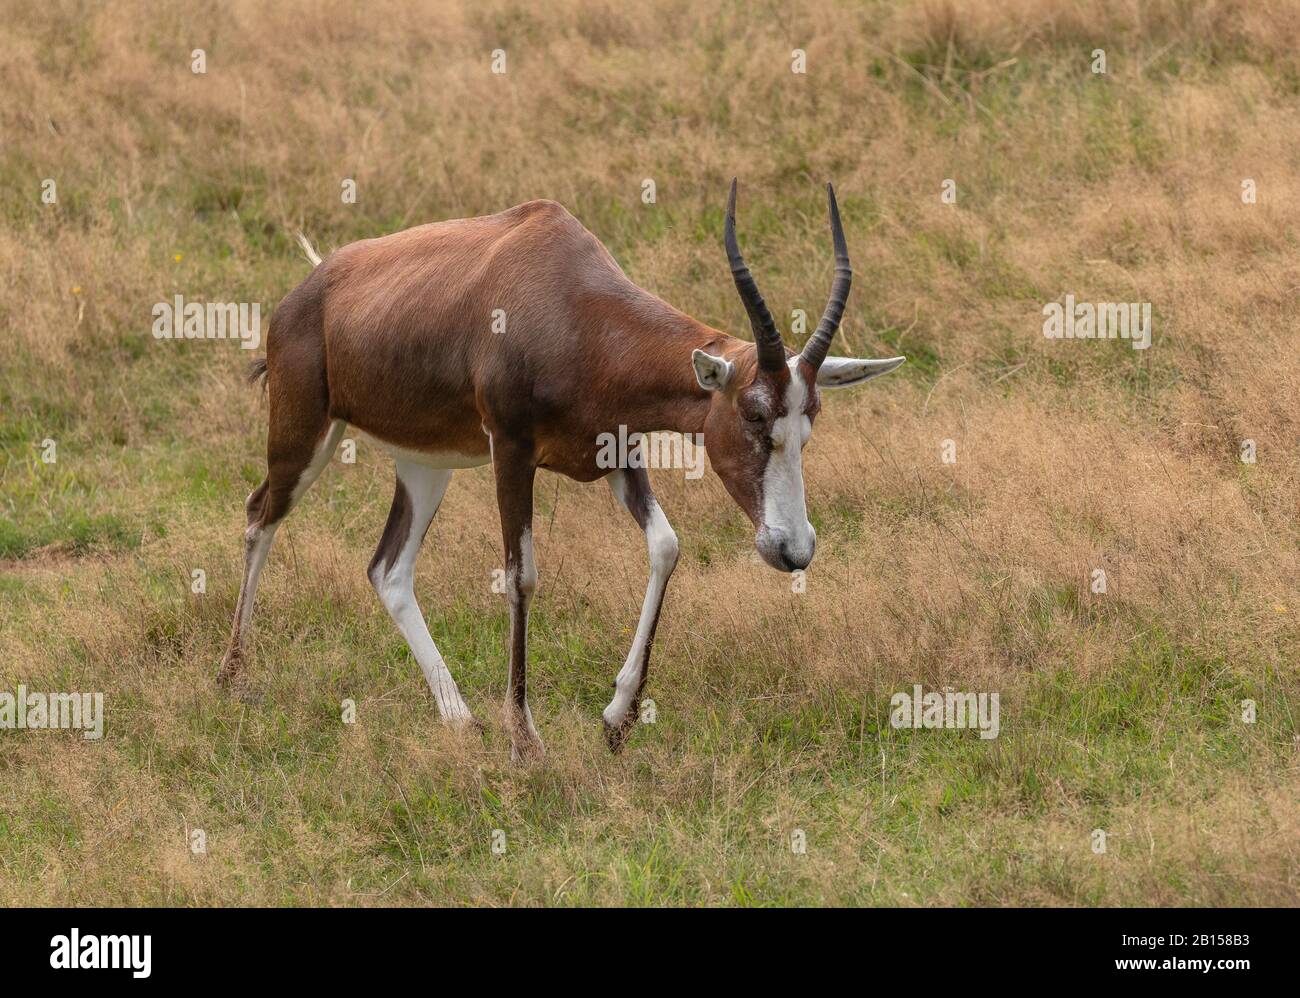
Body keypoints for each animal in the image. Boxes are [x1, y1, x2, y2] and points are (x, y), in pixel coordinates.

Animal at [218, 180, 904, 760]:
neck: (570, 297)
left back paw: (460, 720)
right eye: (755, 414)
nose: (793, 549)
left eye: (809, 421)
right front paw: (525, 741)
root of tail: (310, 287)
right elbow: (521, 576)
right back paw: (232, 678)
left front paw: (617, 719)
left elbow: (667, 546)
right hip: (305, 436)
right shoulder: (511, 451)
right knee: (259, 516)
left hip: (424, 463)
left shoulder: (617, 454)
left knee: (388, 569)